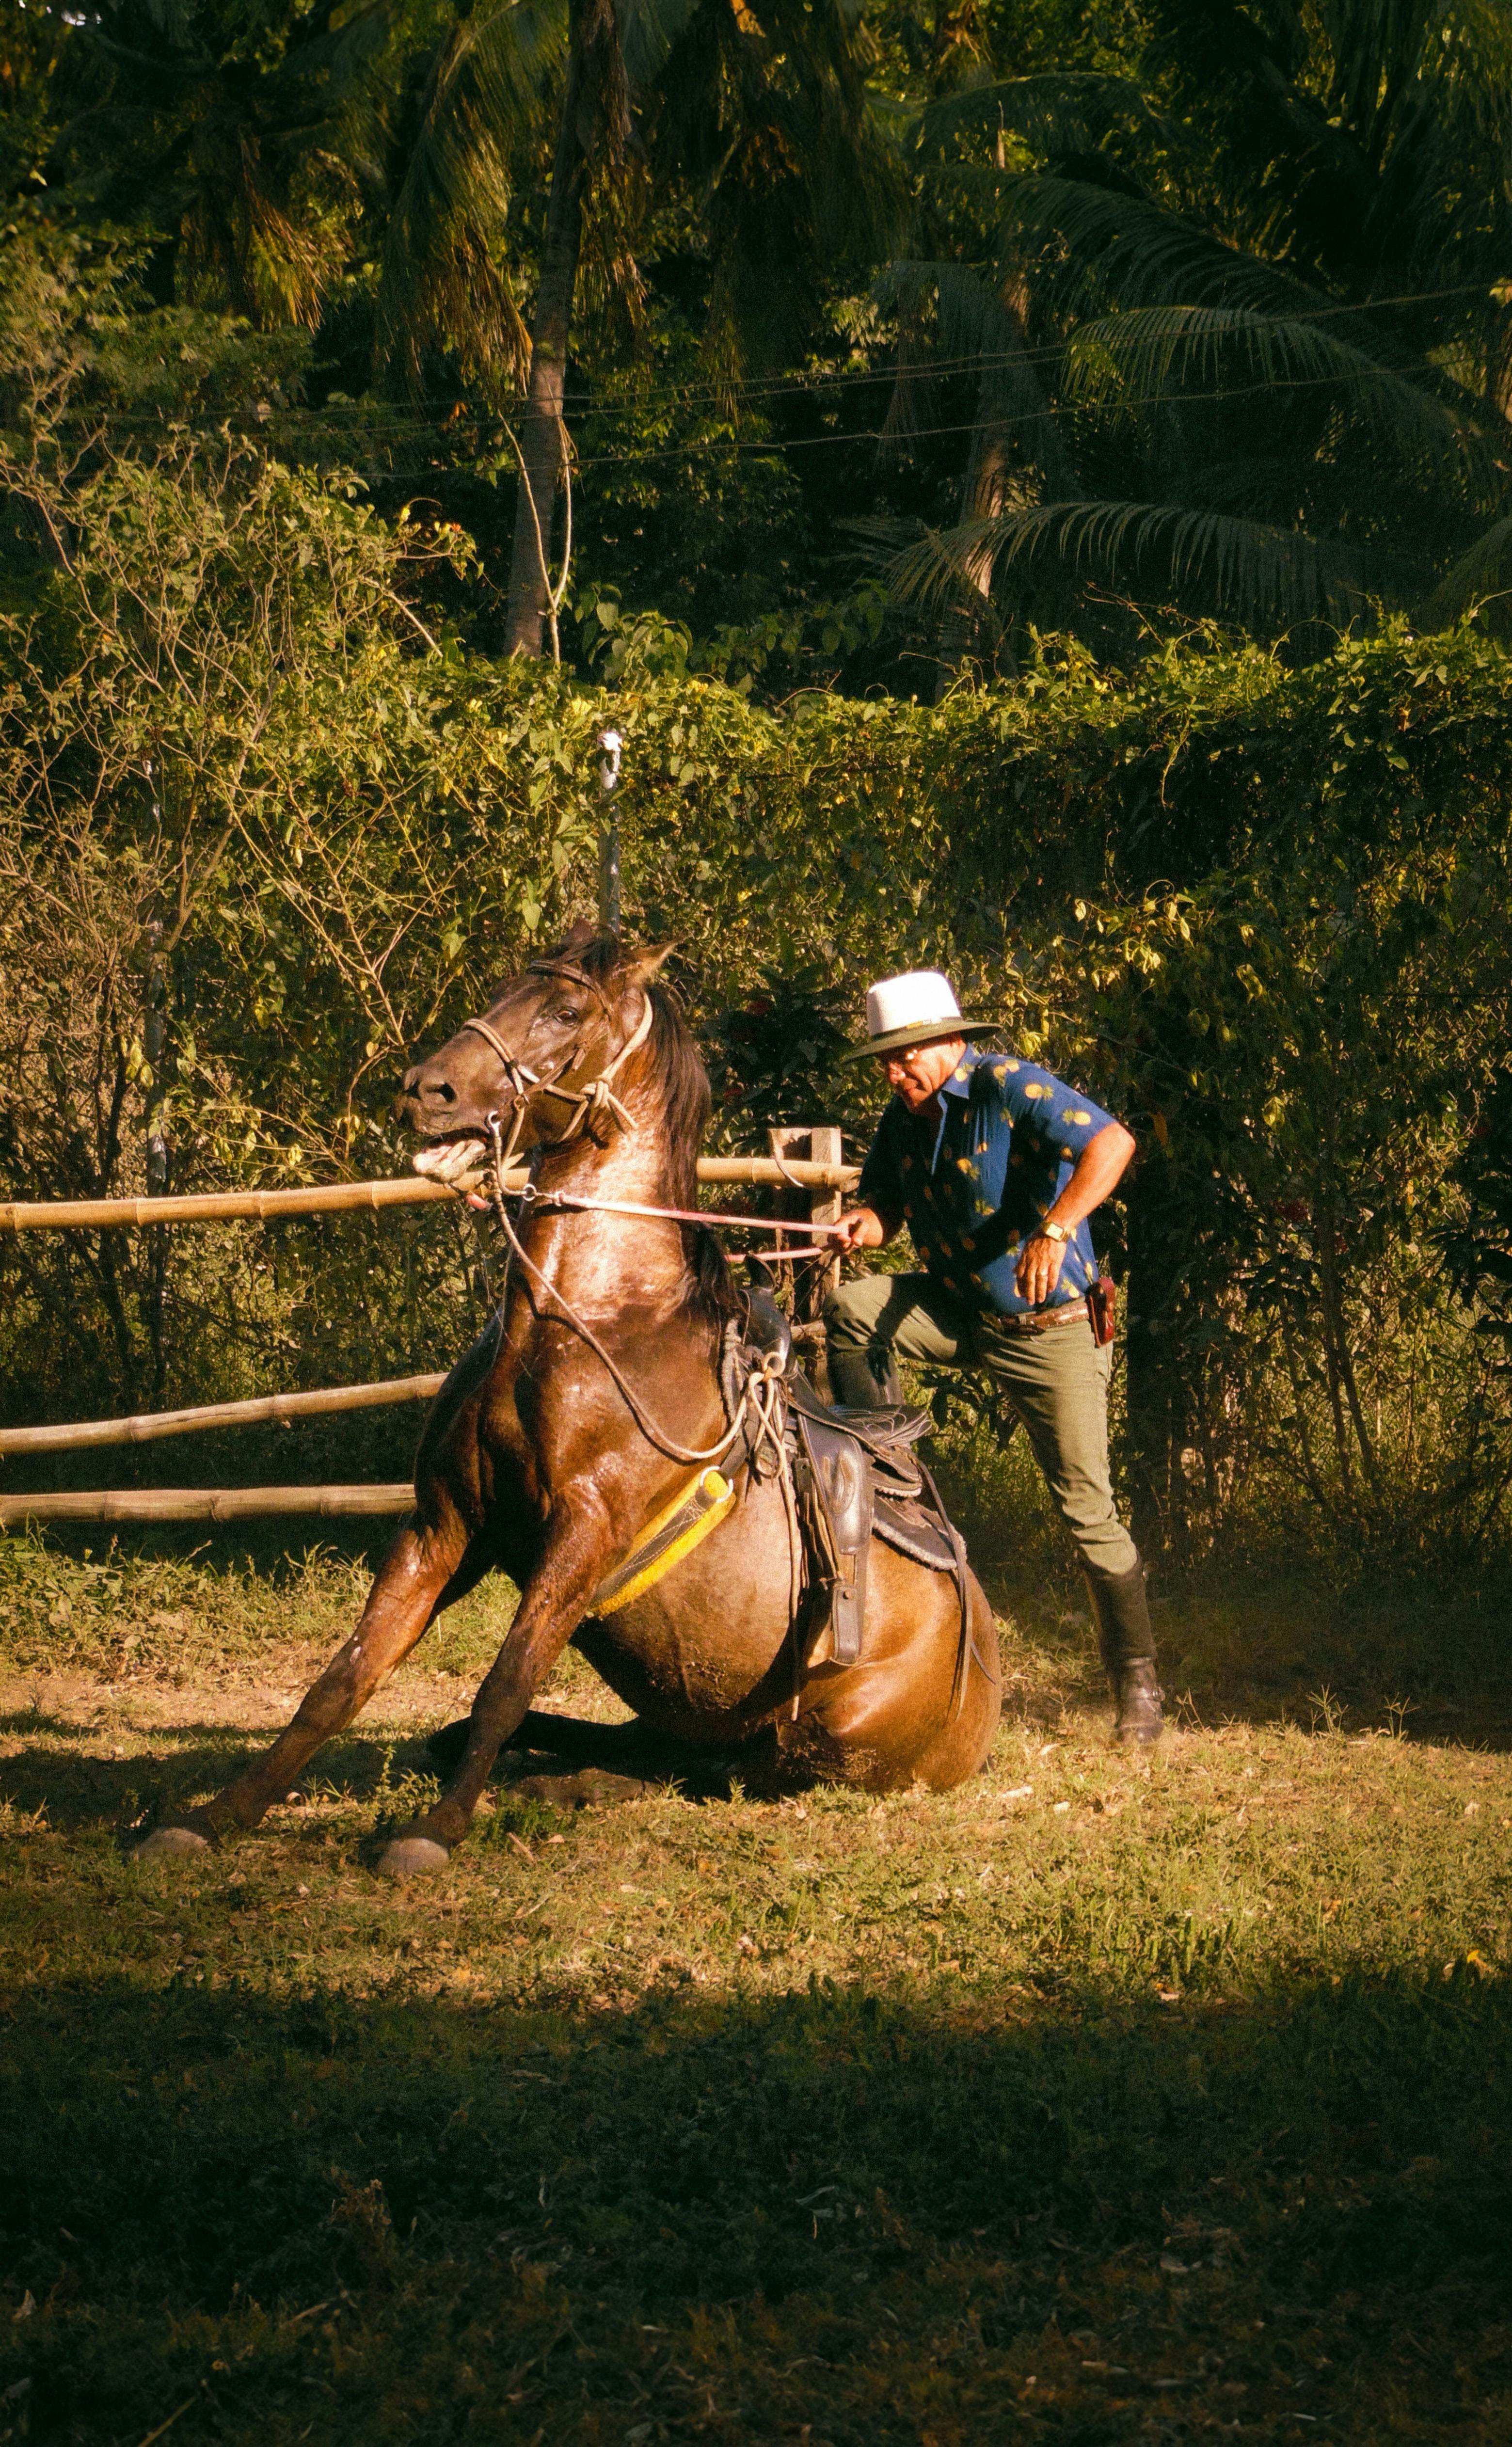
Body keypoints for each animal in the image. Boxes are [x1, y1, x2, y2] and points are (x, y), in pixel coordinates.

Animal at [134, 932, 1001, 1877]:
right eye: (504, 989)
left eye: (565, 1010)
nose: (424, 1090)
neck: (592, 1323)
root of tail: (980, 1697)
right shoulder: (445, 1524)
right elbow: (343, 1677)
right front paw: (217, 1814)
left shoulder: (584, 1533)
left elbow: (505, 1682)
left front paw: (434, 1830)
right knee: (659, 1750)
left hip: (809, 1741)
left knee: (715, 1774)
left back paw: (558, 1785)